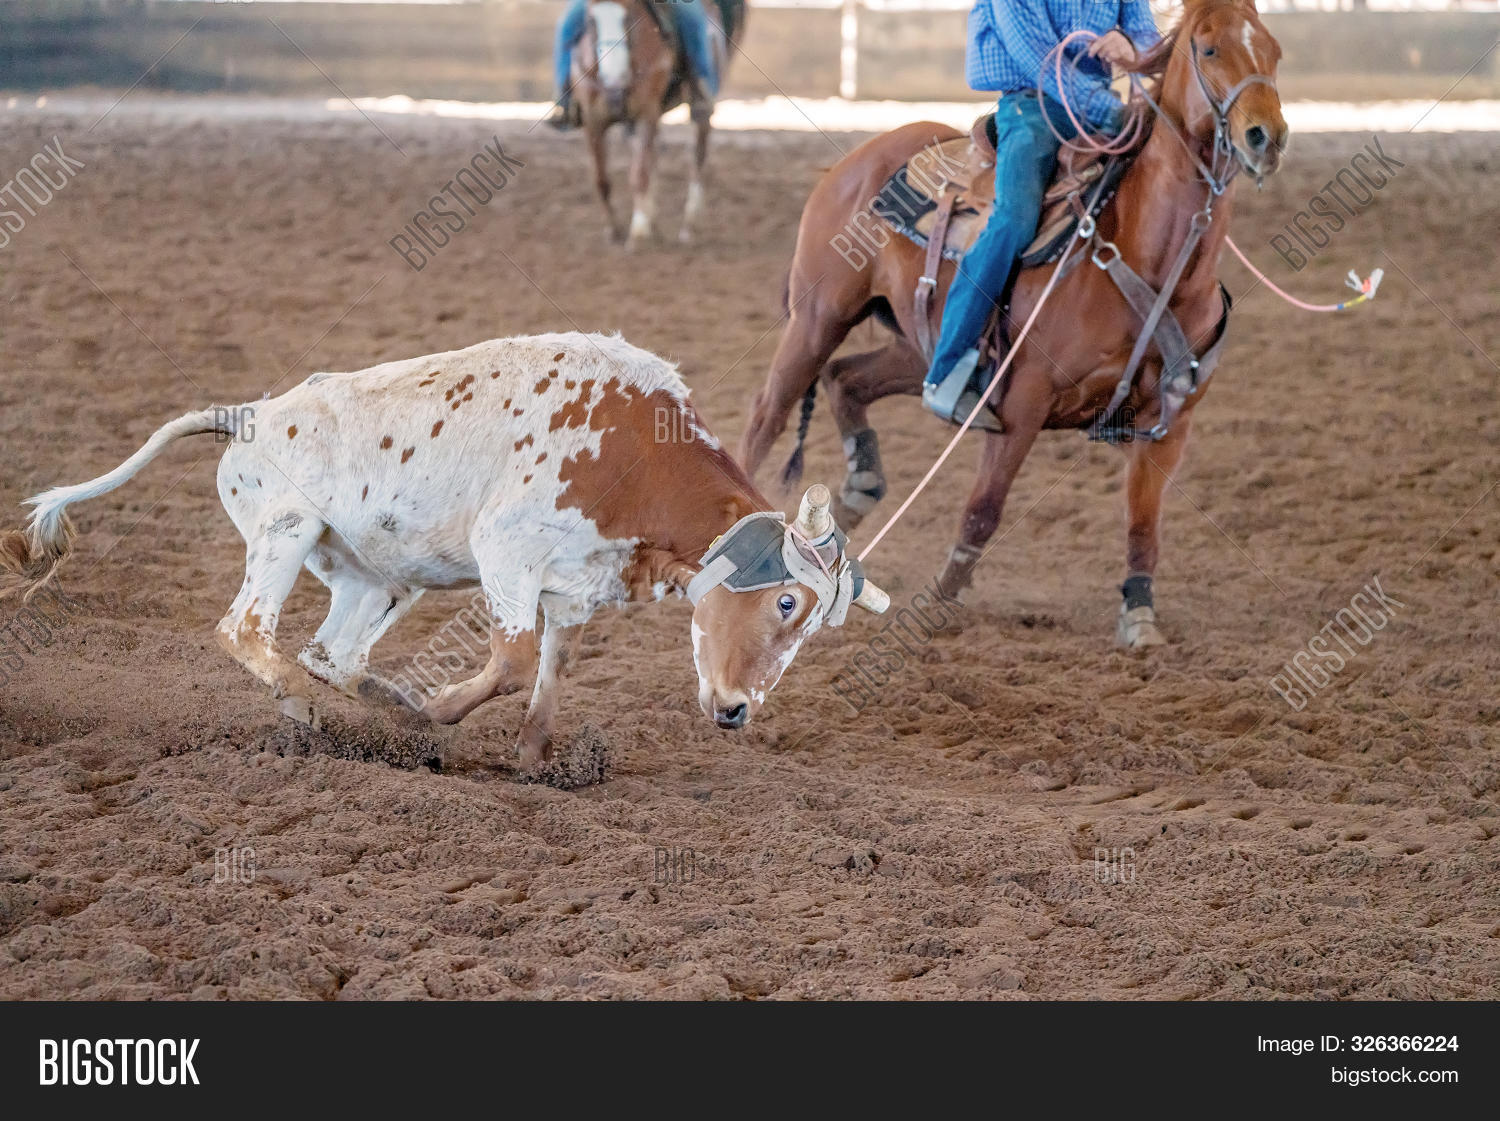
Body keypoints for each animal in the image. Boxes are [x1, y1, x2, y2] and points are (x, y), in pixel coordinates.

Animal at [0, 332, 888, 770]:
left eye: (812, 624)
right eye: (784, 600)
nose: (737, 709)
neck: (634, 450)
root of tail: (250, 413)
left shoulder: (578, 585)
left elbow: (552, 666)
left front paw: (536, 757)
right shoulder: (506, 554)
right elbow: (511, 661)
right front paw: (434, 717)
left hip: (377, 581)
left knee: (329, 653)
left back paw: (354, 707)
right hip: (284, 533)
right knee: (246, 631)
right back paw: (332, 712)